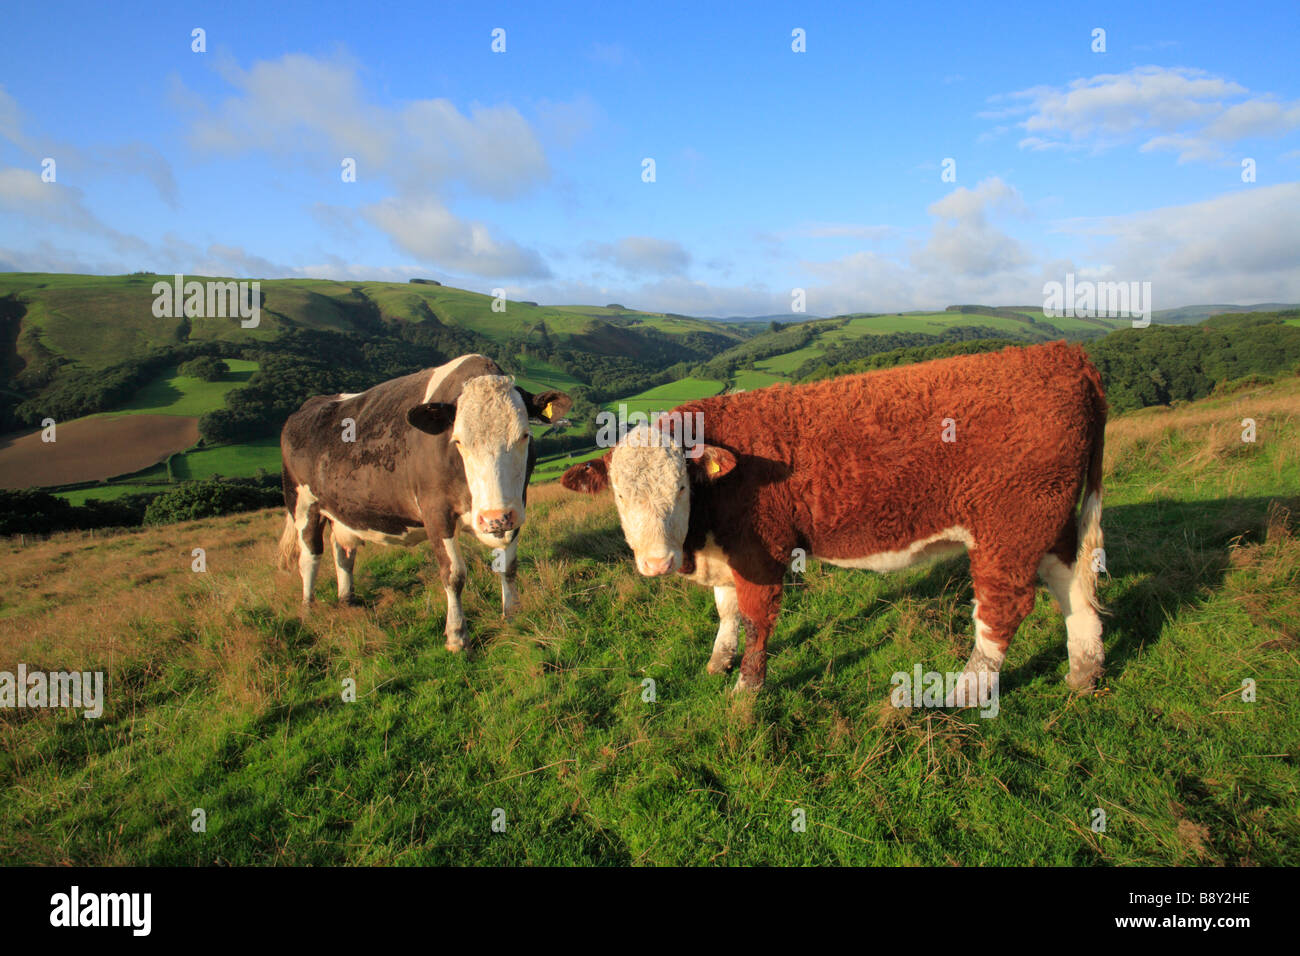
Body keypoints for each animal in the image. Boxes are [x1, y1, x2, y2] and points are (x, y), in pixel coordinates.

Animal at [278, 354, 572, 651]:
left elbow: (508, 565)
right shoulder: (435, 512)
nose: (494, 518)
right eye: (458, 441)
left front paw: (512, 615)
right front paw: (457, 635)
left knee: (343, 552)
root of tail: (307, 407)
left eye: (524, 435)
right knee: (309, 557)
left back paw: (347, 599)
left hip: (341, 509)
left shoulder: (517, 504)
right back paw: (308, 608)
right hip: (302, 504)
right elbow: (453, 574)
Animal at [561, 342, 1107, 703]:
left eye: (680, 488)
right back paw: (1084, 670)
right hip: (1048, 519)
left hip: (1008, 525)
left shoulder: (761, 550)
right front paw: (719, 661)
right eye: (619, 495)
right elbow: (726, 611)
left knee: (1003, 609)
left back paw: (966, 693)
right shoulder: (726, 552)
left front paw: (746, 691)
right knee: (1072, 586)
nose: (656, 563)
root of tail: (1064, 353)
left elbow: (756, 618)